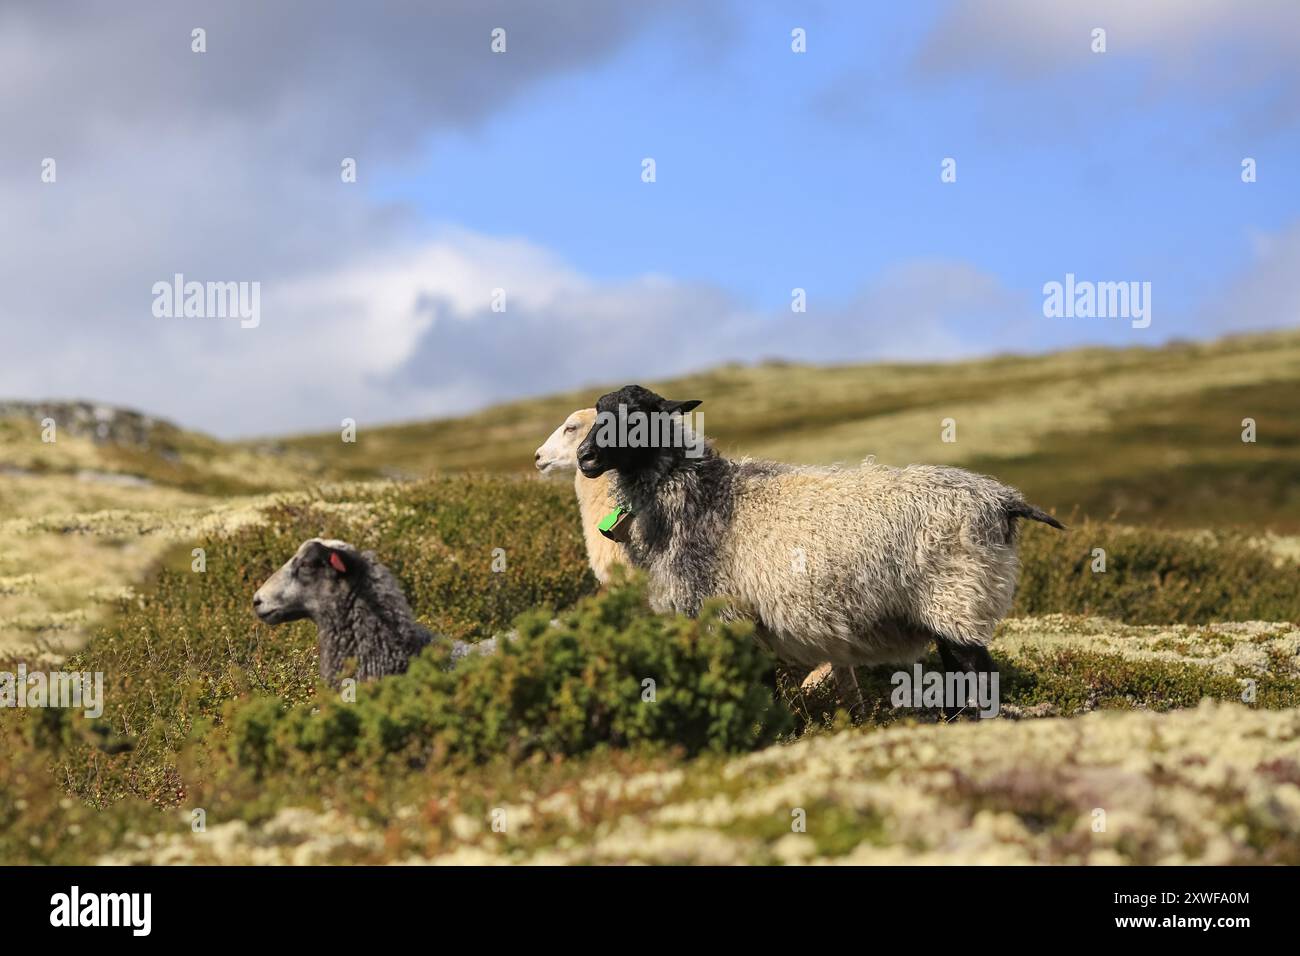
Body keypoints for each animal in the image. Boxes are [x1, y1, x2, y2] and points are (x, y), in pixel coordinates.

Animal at [575, 385, 1065, 716]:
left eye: (638, 417)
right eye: (598, 413)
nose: (585, 457)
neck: (700, 495)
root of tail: (1003, 500)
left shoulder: (727, 614)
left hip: (959, 599)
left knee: (980, 679)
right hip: (953, 609)